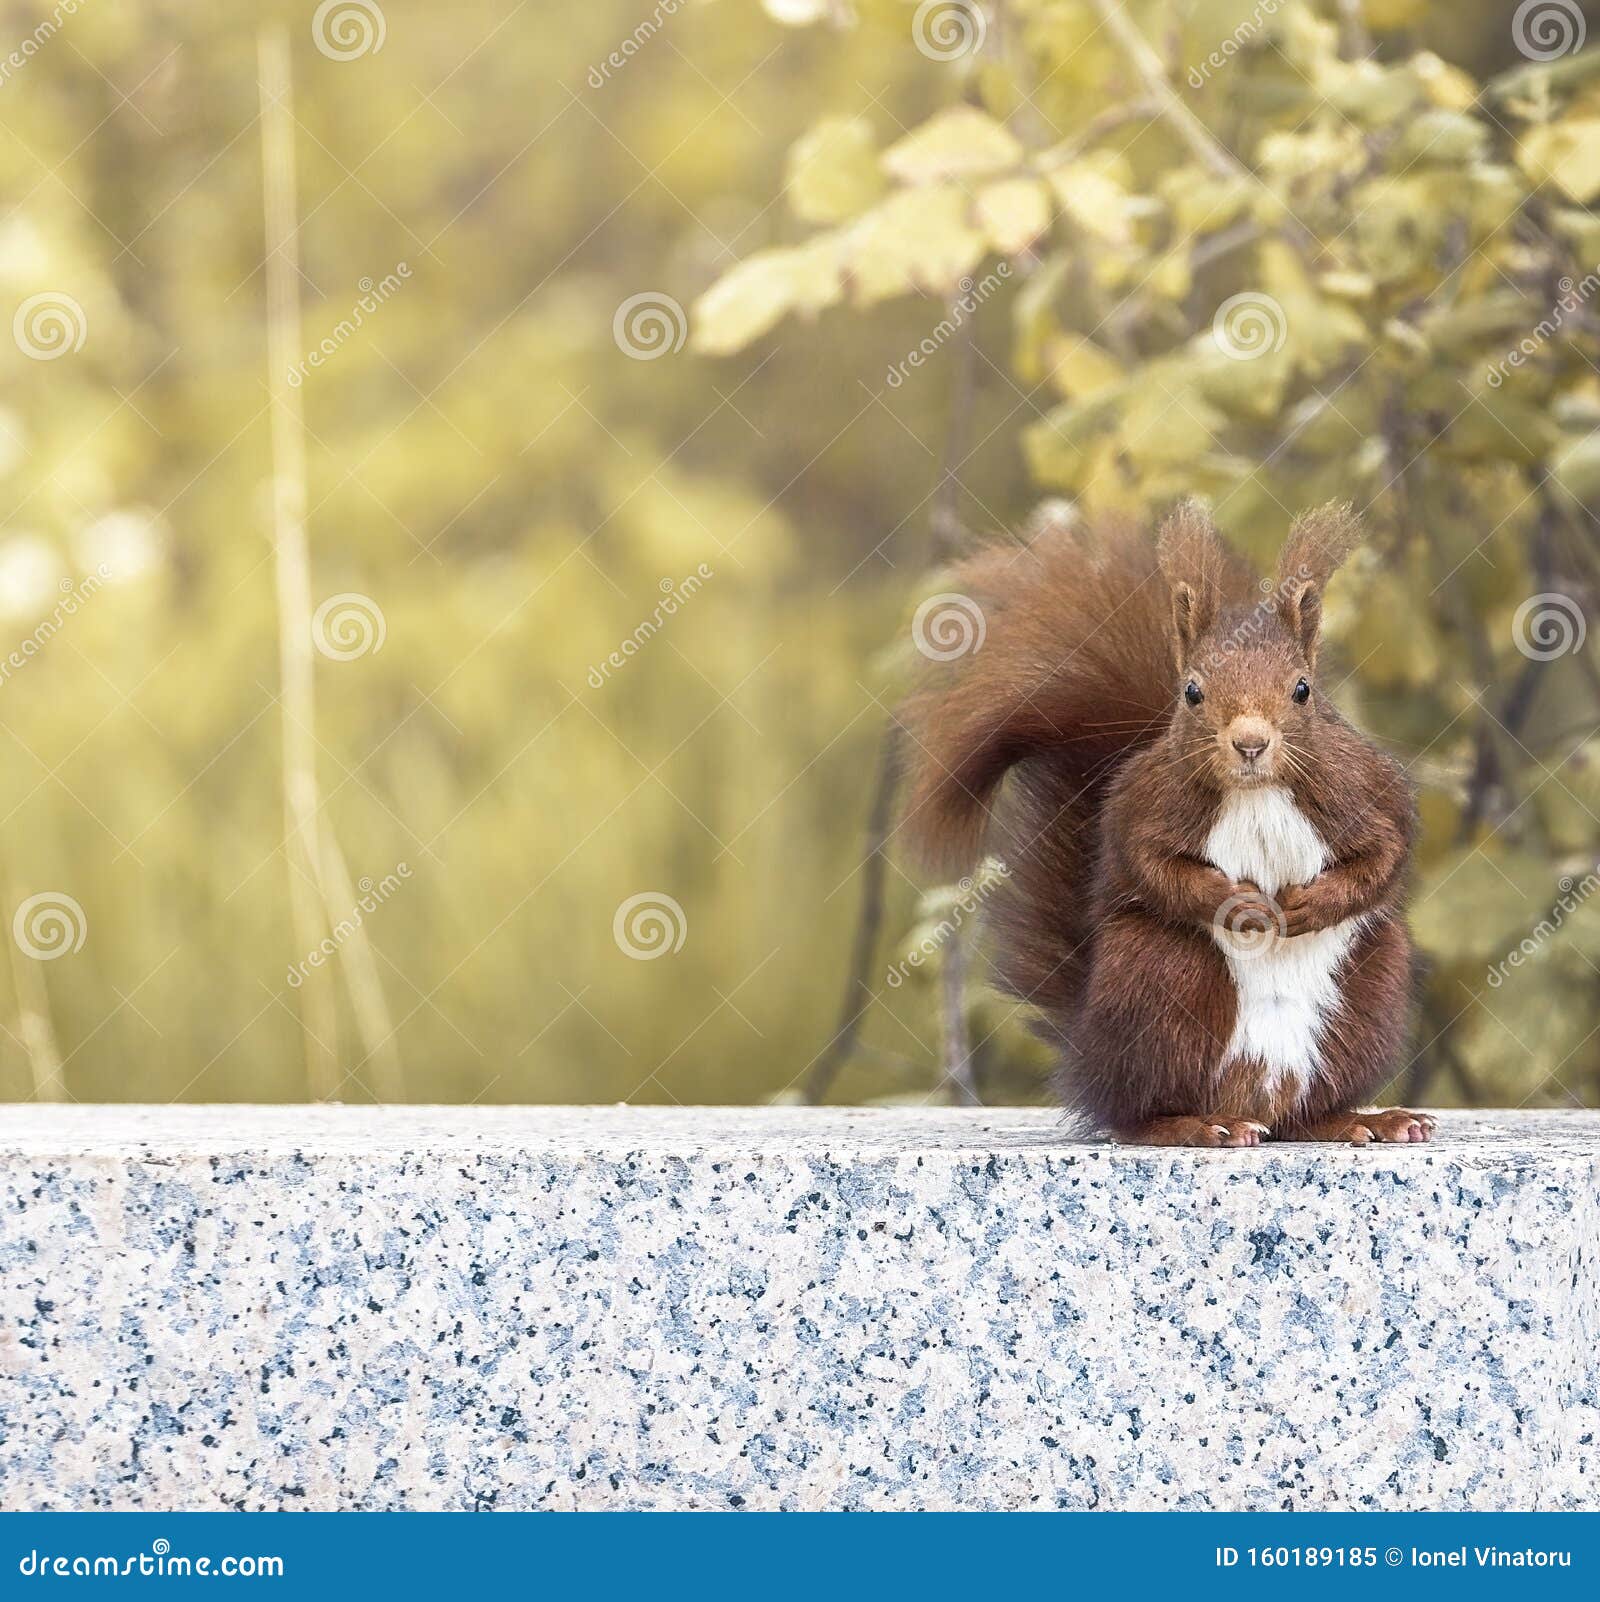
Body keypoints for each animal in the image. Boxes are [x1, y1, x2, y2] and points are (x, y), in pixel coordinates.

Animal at [899, 500, 1431, 1148]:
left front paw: (1313, 903)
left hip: (1369, 994)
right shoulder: (1144, 806)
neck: (1255, 792)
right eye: (1192, 692)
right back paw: (1196, 1126)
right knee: (1137, 1112)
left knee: (1307, 1114)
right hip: (1162, 976)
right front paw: (1239, 903)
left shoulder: (1363, 789)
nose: (1250, 743)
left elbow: (1385, 855)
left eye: (1303, 689)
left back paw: (1364, 1119)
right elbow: (1152, 866)